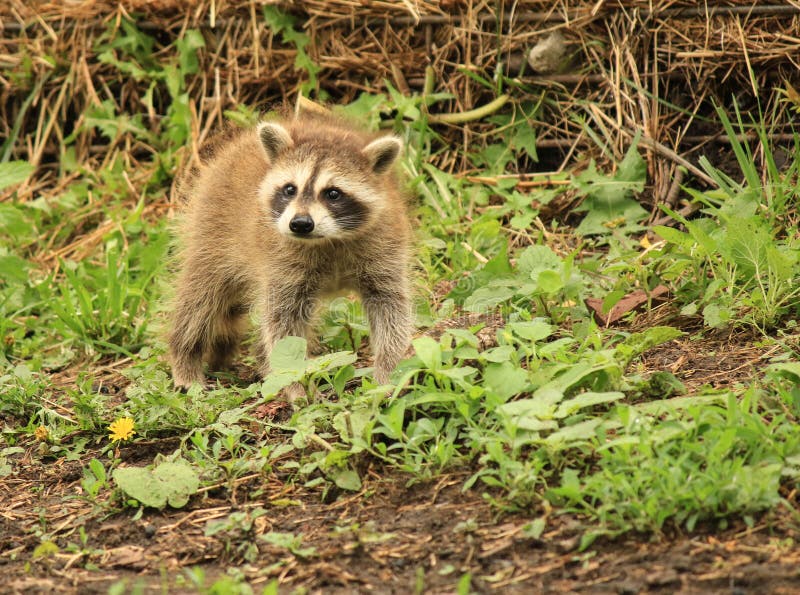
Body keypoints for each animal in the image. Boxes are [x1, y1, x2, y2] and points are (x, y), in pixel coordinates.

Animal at [167, 111, 413, 395]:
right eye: (289, 189)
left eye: (333, 193)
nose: (301, 224)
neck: (330, 239)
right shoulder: (281, 260)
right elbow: (283, 324)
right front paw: (296, 384)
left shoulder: (384, 245)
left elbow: (391, 309)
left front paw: (390, 370)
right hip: (212, 229)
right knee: (200, 300)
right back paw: (185, 355)